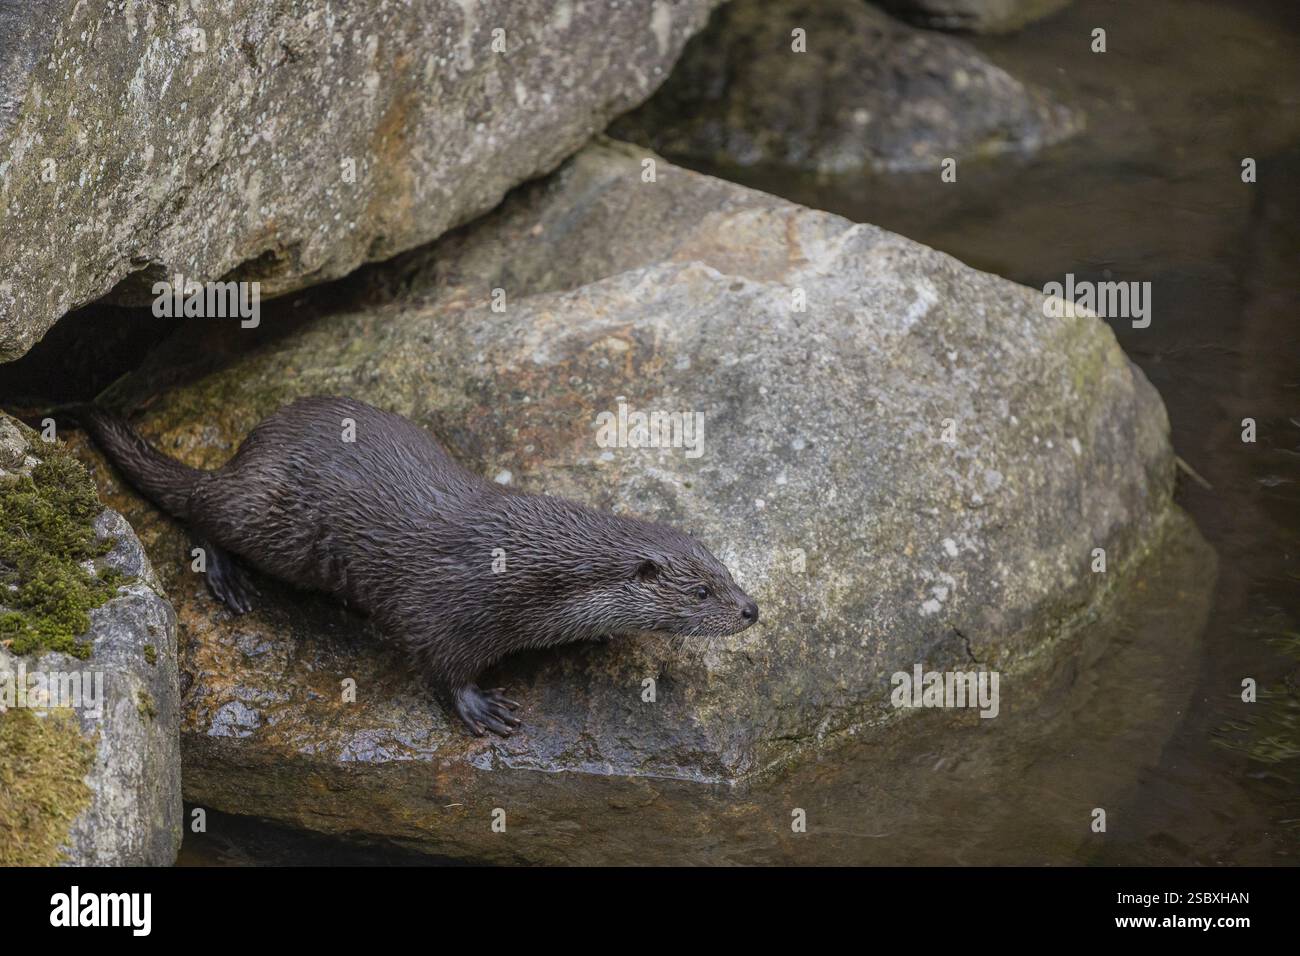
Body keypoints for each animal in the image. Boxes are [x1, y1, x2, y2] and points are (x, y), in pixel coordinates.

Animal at [70, 397, 759, 737]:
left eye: (727, 571)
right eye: (702, 592)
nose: (751, 609)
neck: (534, 568)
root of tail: (250, 447)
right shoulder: (450, 605)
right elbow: (439, 660)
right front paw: (480, 708)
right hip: (277, 522)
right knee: (203, 504)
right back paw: (223, 575)